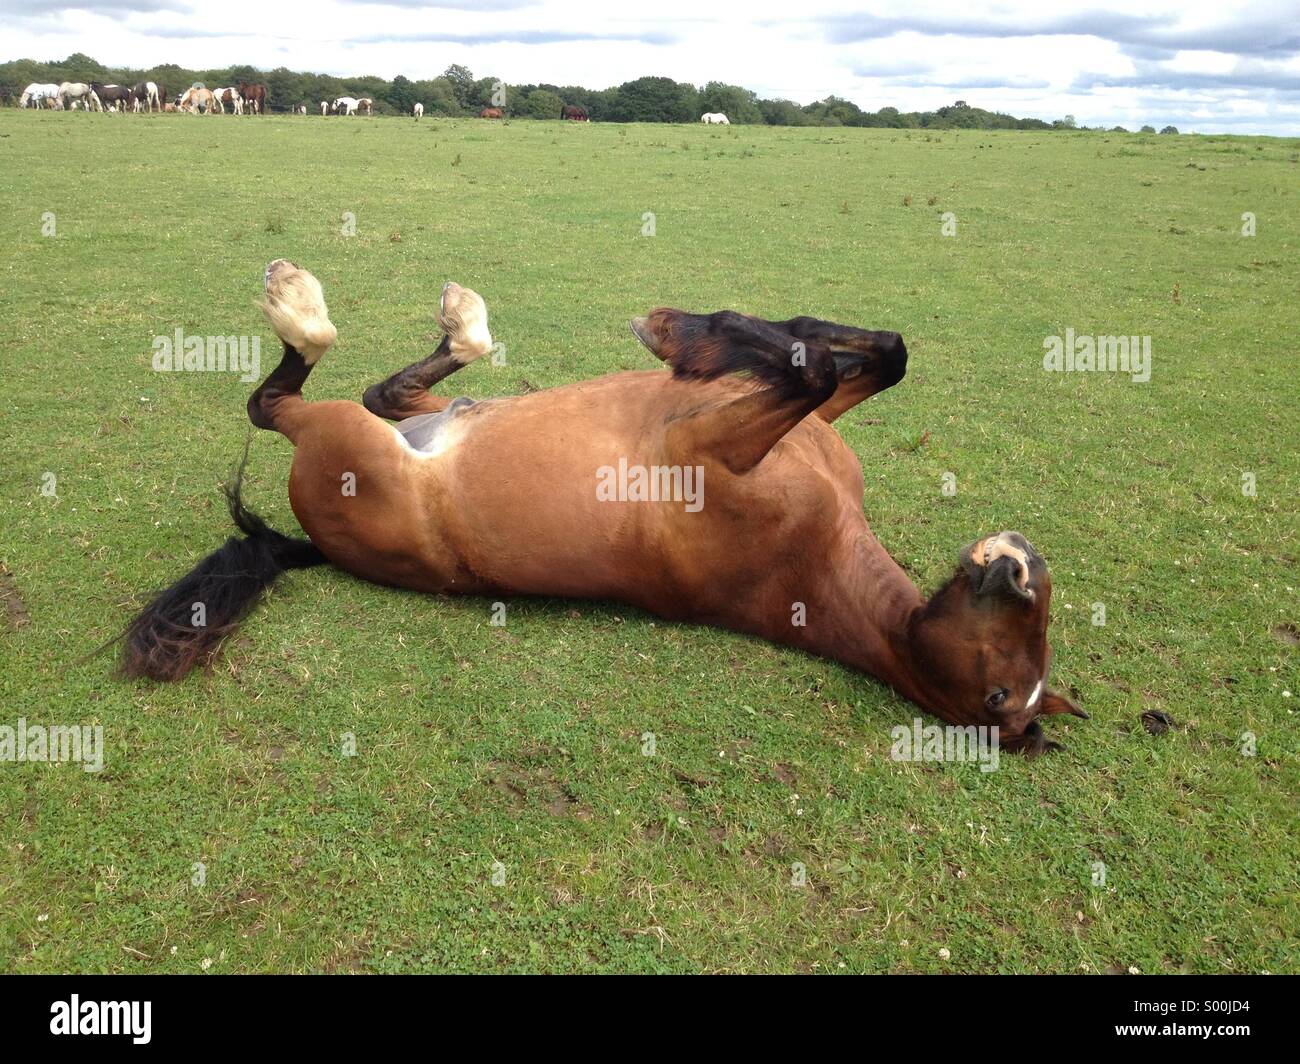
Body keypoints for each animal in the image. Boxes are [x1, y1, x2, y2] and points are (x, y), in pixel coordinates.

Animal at [120, 261, 1087, 755]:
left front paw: (675, 330)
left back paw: (301, 305)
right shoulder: (790, 422)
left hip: (344, 445)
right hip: (404, 421)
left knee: (280, 401)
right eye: (1016, 654)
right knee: (380, 388)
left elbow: (811, 367)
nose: (1018, 563)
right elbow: (872, 354)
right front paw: (702, 332)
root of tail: (309, 543)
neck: (811, 556)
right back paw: (461, 326)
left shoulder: (709, 445)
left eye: (1002, 691)